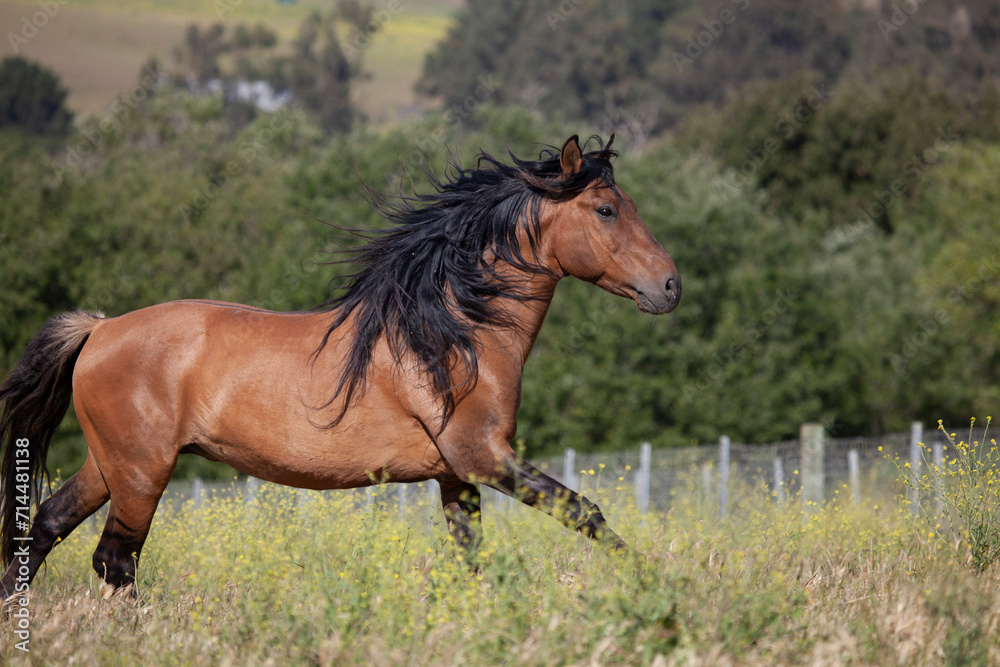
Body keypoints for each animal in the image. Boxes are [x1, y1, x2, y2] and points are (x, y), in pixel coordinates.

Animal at [0, 134, 680, 601]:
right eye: (606, 210)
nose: (671, 287)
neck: (455, 331)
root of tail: (99, 329)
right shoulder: (485, 456)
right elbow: (586, 511)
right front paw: (651, 583)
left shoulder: (455, 476)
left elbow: (471, 560)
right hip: (142, 473)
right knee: (116, 560)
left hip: (111, 466)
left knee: (48, 527)